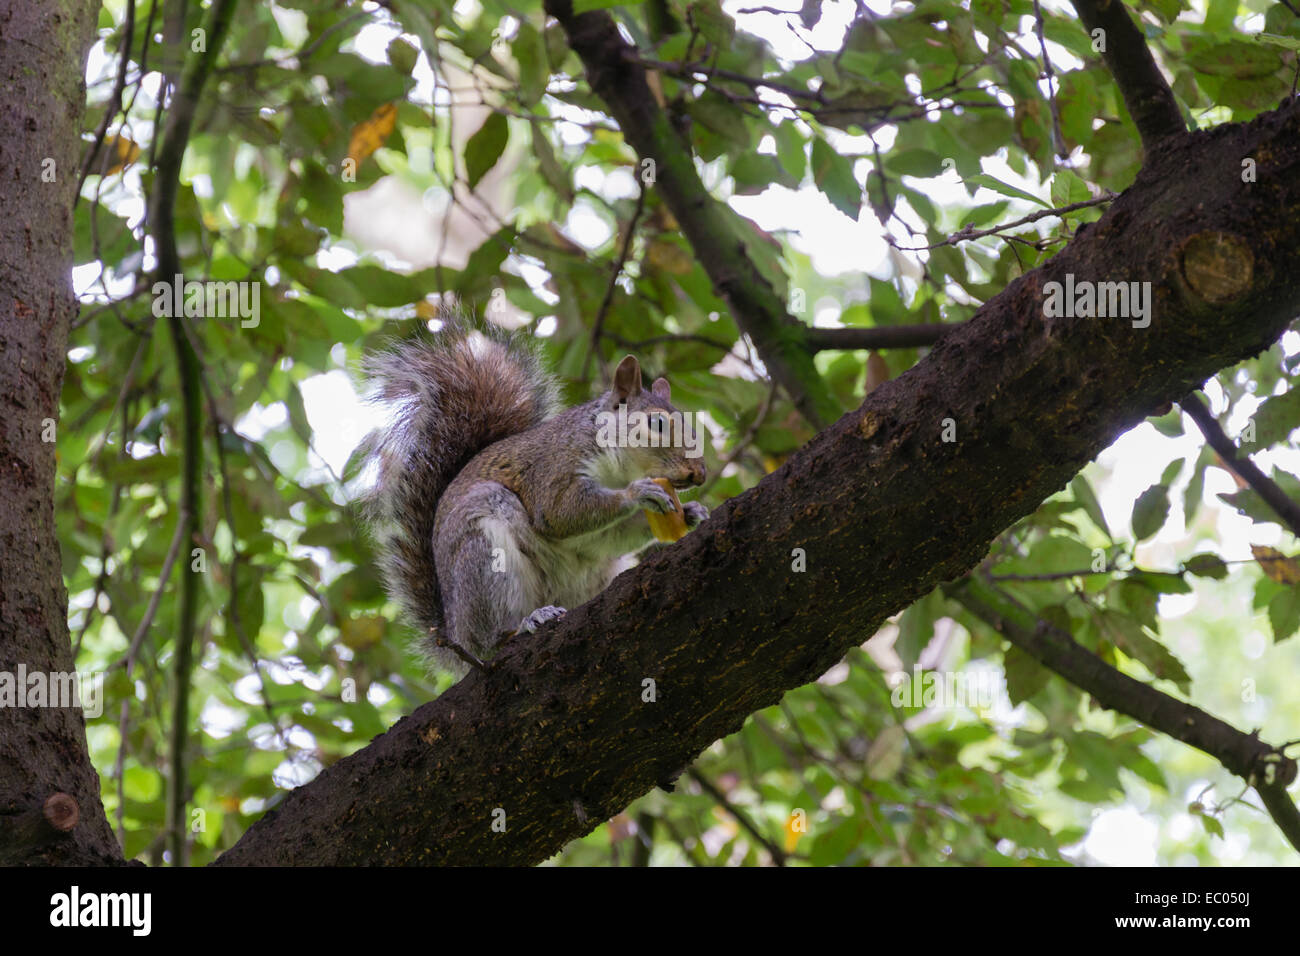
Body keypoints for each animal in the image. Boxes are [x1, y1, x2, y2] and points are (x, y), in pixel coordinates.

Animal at [361, 318, 708, 675]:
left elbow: (615, 535)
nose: (700, 474)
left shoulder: (606, 534)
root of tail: (454, 633)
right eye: (657, 423)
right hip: (484, 559)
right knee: (491, 639)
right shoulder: (552, 470)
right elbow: (560, 513)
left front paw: (692, 512)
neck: (618, 468)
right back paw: (525, 623)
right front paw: (637, 493)